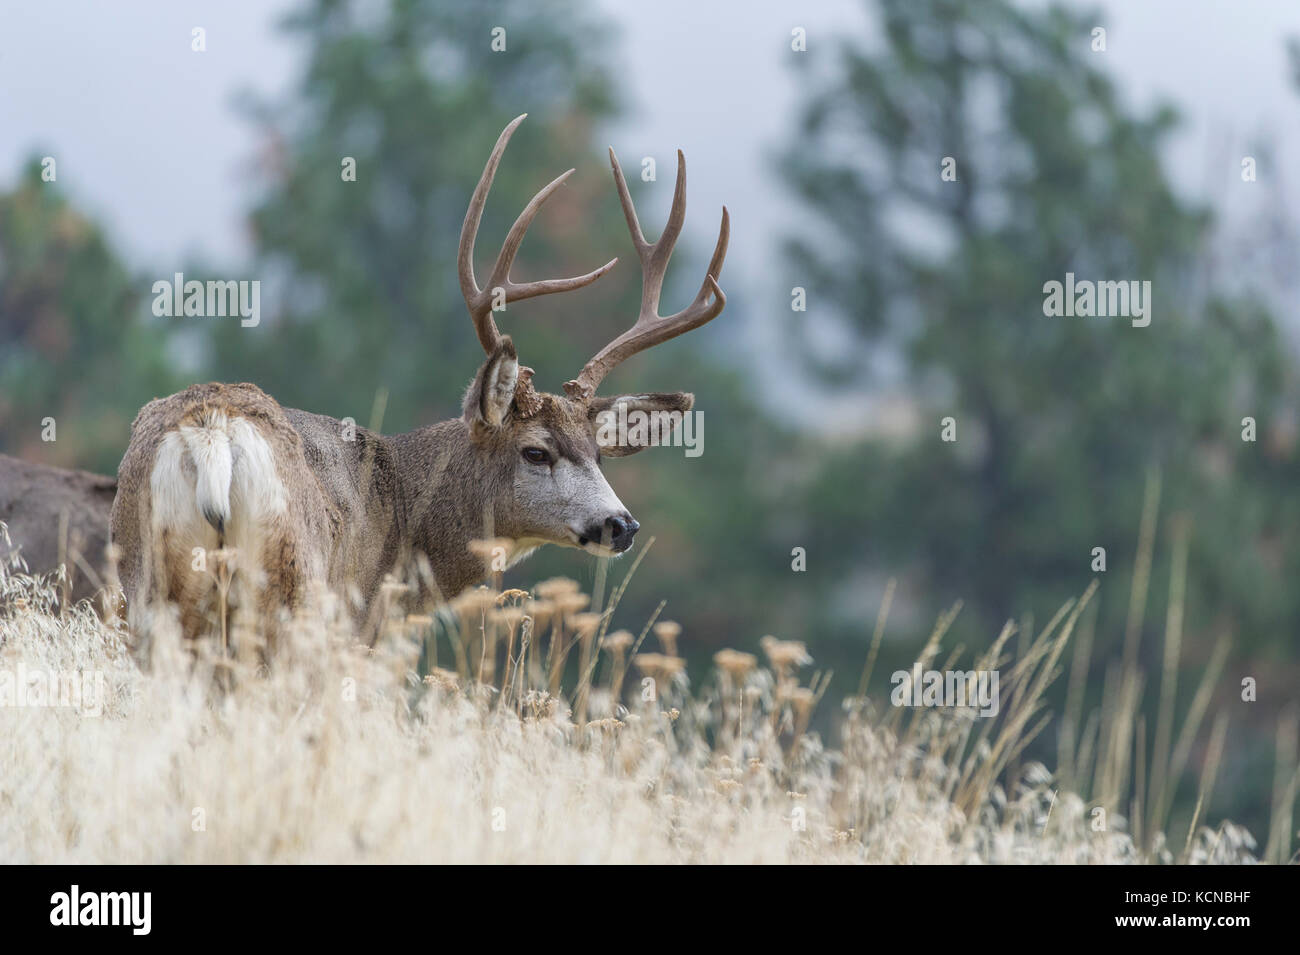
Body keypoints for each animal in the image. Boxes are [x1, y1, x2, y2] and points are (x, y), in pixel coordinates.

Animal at [110, 114, 729, 652]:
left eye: (599, 455)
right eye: (535, 451)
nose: (620, 524)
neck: (406, 520)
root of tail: (212, 433)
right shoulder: (357, 623)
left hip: (149, 588)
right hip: (292, 592)